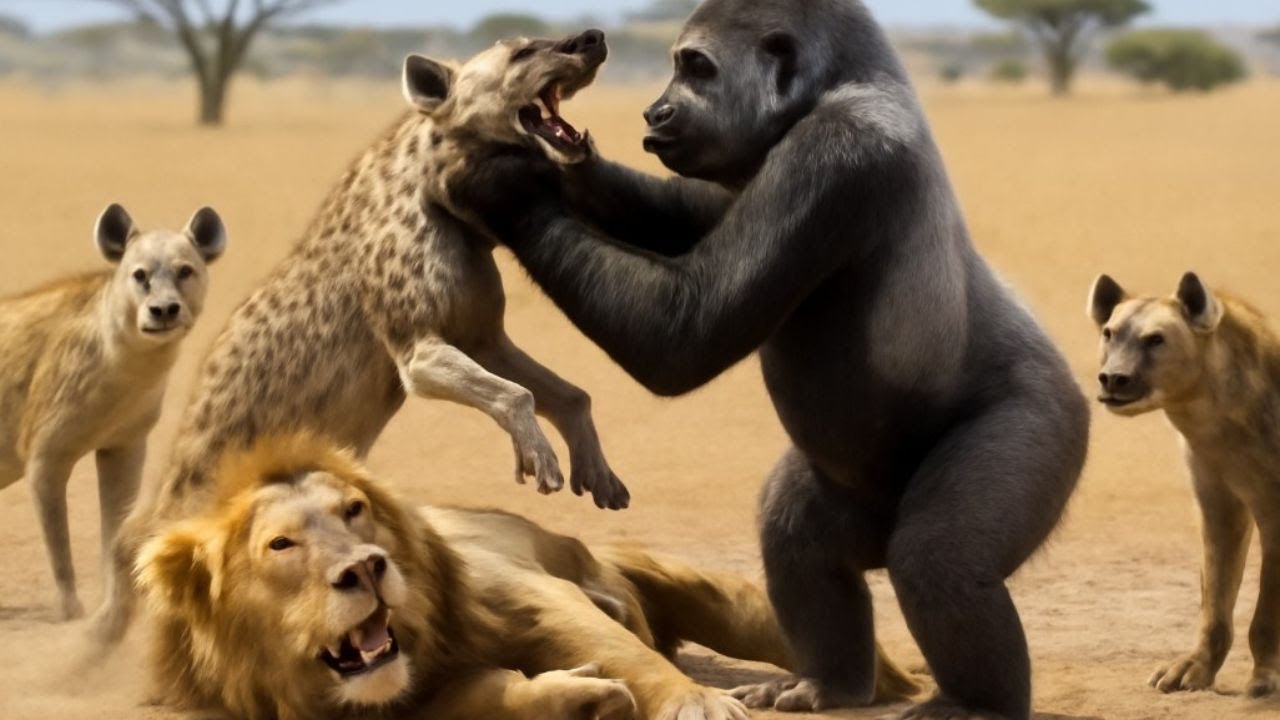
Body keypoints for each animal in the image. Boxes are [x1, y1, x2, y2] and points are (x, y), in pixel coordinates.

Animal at [135, 435, 920, 720]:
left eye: (354, 511)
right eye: (282, 544)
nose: (366, 566)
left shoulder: (529, 593)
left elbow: (618, 647)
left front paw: (694, 704)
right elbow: (492, 696)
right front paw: (581, 699)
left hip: (726, 601)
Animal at [440, 1, 1090, 718]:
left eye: (696, 68)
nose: (655, 112)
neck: (838, 86)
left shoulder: (836, 150)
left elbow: (686, 328)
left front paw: (507, 188)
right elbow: (678, 217)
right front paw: (559, 164)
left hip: (1045, 418)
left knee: (938, 555)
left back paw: (975, 702)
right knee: (796, 538)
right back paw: (831, 682)